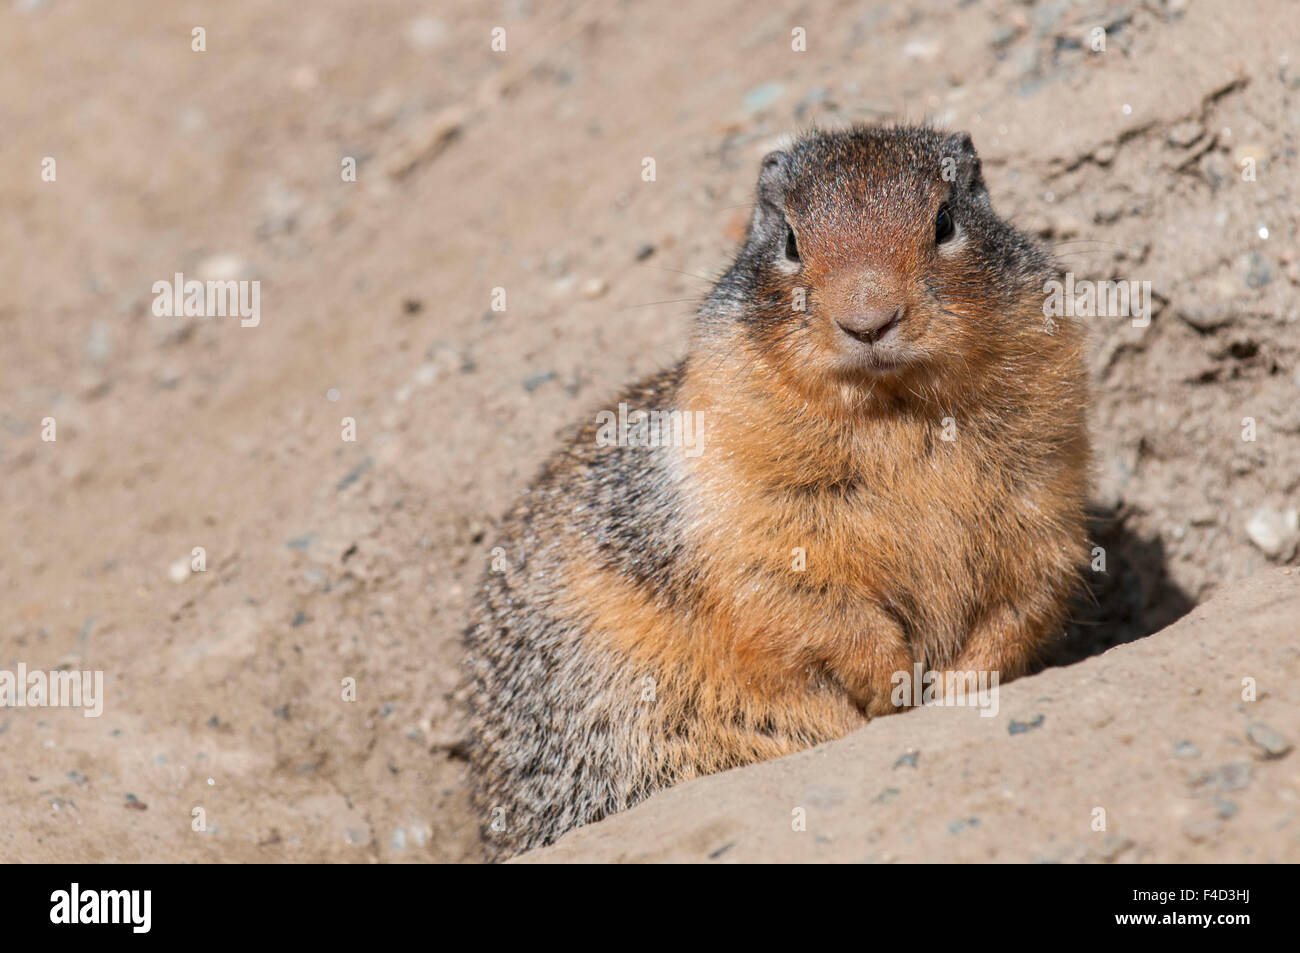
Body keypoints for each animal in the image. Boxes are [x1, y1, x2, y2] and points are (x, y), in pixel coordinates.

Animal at [463, 124, 1090, 861]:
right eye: (789, 240)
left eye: (945, 222)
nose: (868, 320)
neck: (892, 411)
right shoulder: (739, 509)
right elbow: (795, 602)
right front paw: (892, 683)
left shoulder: (1045, 485)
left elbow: (1026, 593)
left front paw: (961, 686)